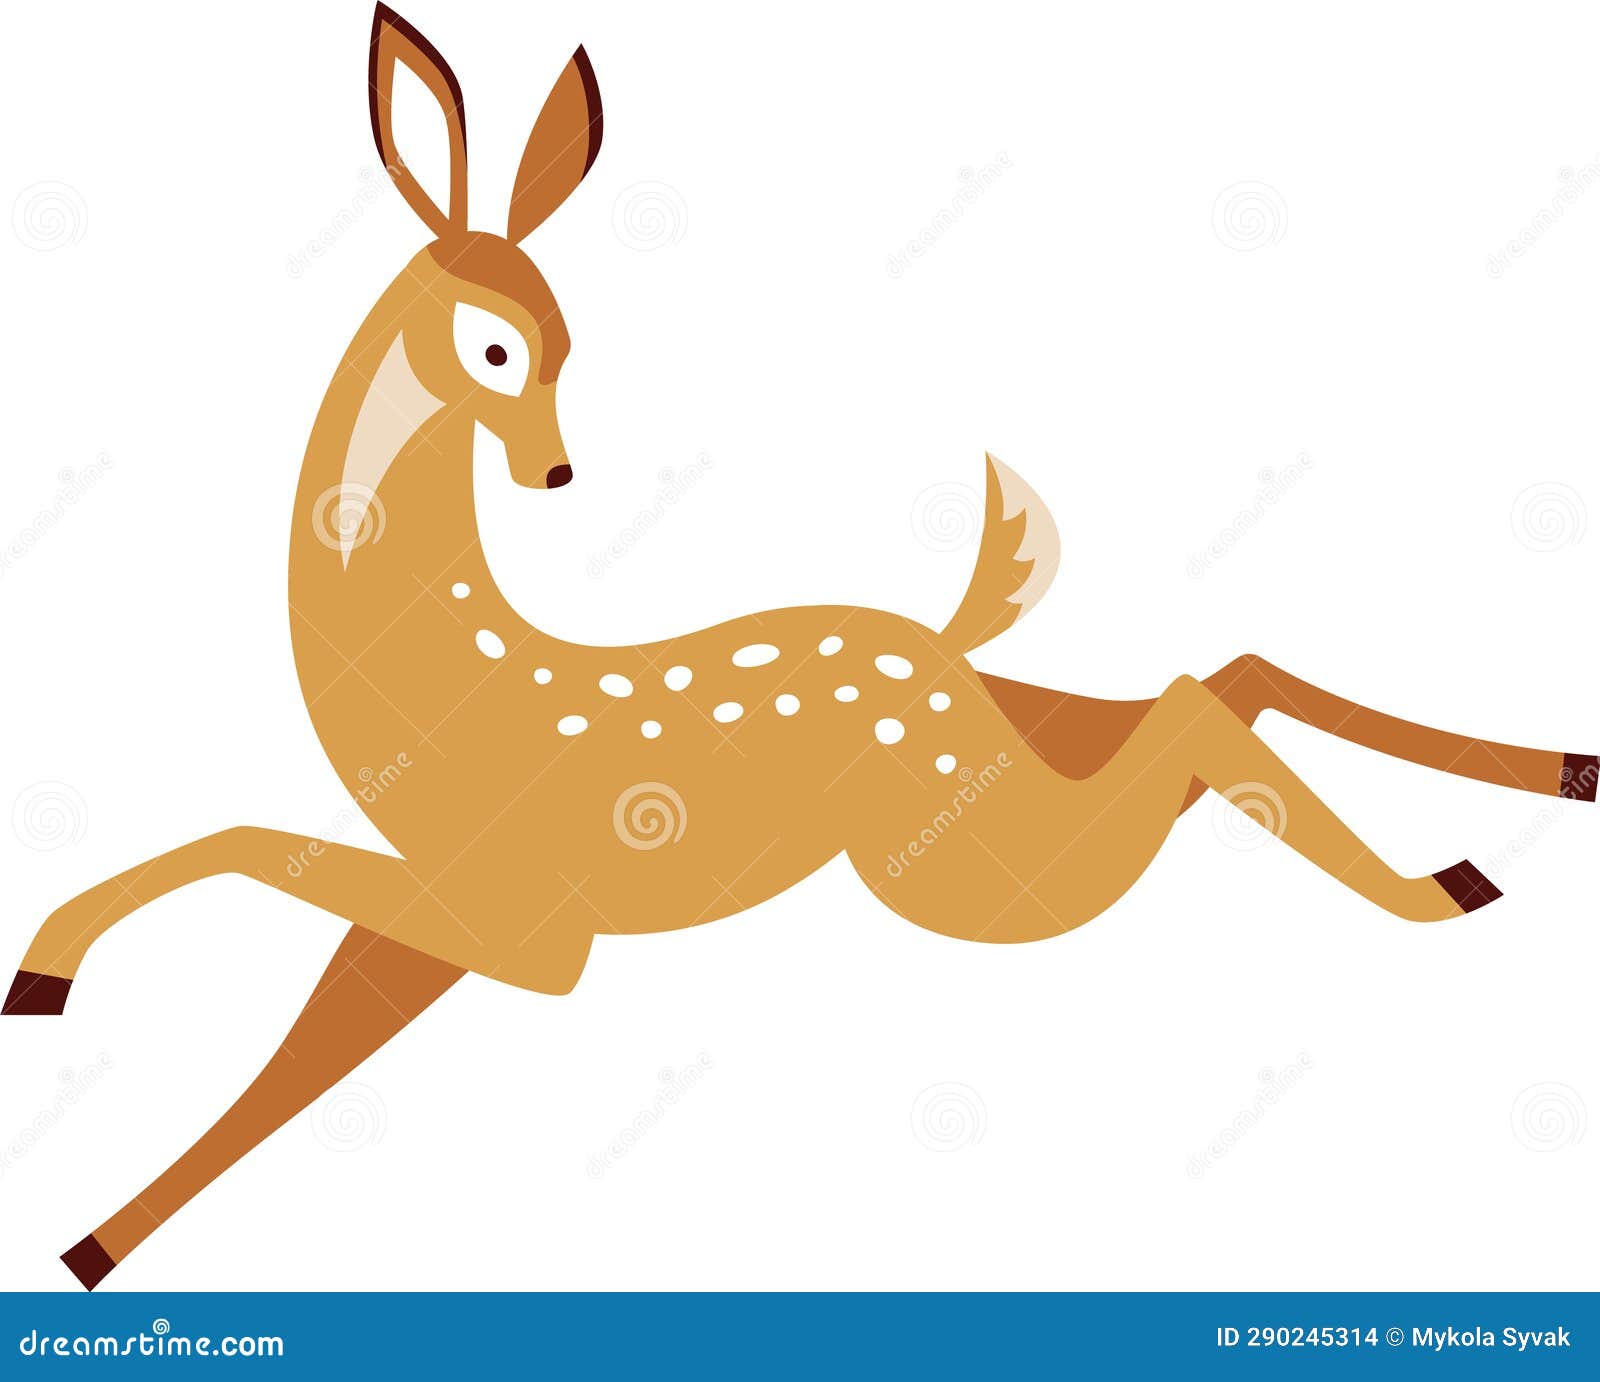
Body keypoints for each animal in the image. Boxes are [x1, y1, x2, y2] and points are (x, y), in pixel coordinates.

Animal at [8, 5, 1593, 1291]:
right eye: (502, 347)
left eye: (566, 343)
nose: (556, 475)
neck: (450, 684)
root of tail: (941, 646)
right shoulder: (460, 914)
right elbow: (282, 1029)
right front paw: (87, 1210)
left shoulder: (528, 928)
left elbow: (251, 883)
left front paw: (53, 999)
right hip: (1000, 774)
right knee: (1214, 678)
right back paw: (1532, 791)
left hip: (956, 871)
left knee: (1199, 709)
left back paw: (1446, 884)